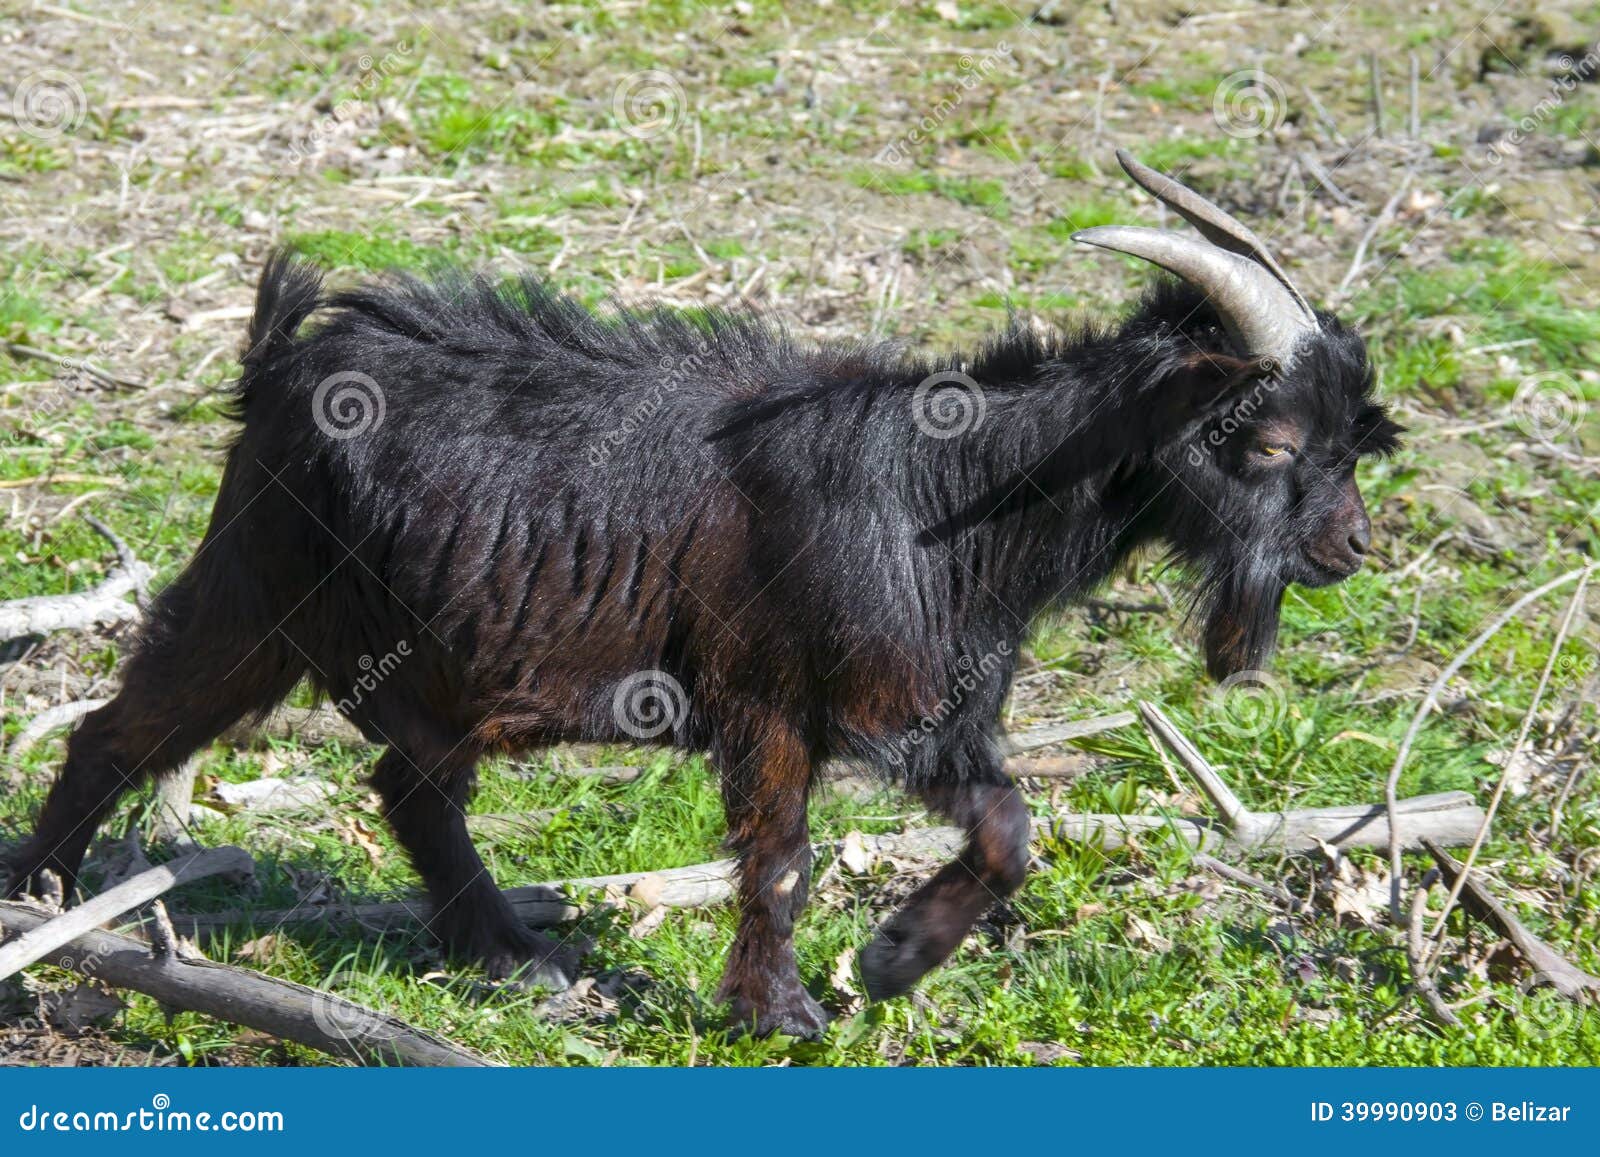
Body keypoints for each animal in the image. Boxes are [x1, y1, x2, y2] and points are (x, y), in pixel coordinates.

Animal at [7, 152, 1402, 1037]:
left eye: (1348, 437)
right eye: (1264, 440)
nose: (1350, 545)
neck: (947, 493)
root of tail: (285, 357)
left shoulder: (922, 710)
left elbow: (1008, 829)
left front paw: (892, 960)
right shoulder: (765, 698)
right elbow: (778, 857)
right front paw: (777, 1011)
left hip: (424, 655)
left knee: (407, 783)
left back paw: (509, 954)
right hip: (255, 591)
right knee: (121, 727)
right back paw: (46, 901)